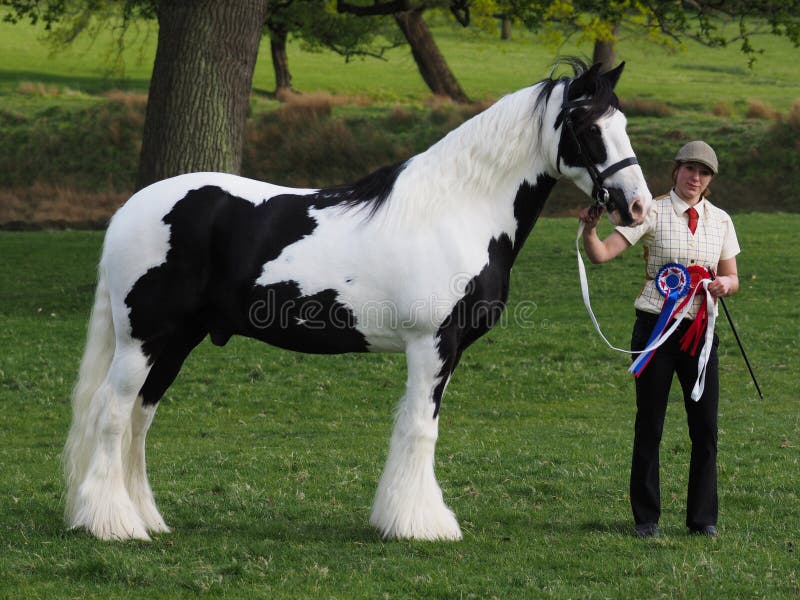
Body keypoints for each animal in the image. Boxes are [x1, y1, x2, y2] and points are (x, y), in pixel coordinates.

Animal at [63, 59, 652, 542]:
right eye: (588, 127)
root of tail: (128, 211)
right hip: (144, 340)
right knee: (111, 413)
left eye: (623, 124)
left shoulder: (446, 350)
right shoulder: (431, 344)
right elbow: (420, 428)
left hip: (175, 342)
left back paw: (146, 519)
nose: (638, 207)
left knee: (139, 419)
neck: (457, 211)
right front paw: (420, 525)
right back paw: (114, 525)